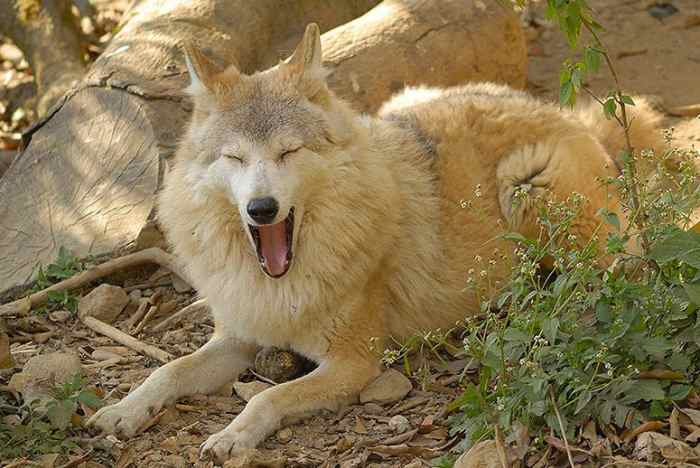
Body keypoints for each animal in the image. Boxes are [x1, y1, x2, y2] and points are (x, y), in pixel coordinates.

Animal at [88, 24, 664, 462]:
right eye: (234, 158)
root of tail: (563, 113)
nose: (262, 209)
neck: (283, 283)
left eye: (287, 152)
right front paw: (121, 411)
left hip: (526, 187)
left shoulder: (354, 364)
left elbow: (265, 400)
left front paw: (231, 436)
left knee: (613, 275)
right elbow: (167, 371)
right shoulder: (239, 336)